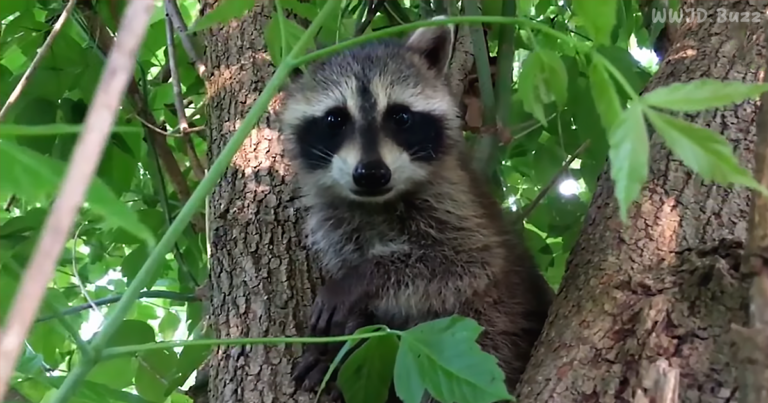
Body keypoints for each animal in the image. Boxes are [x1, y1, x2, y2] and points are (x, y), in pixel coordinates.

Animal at [277, 17, 554, 401]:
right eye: (335, 120)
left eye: (400, 116)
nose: (371, 173)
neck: (374, 203)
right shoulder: (335, 222)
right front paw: (344, 345)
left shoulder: (454, 202)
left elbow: (465, 263)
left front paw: (362, 277)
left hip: (502, 325)